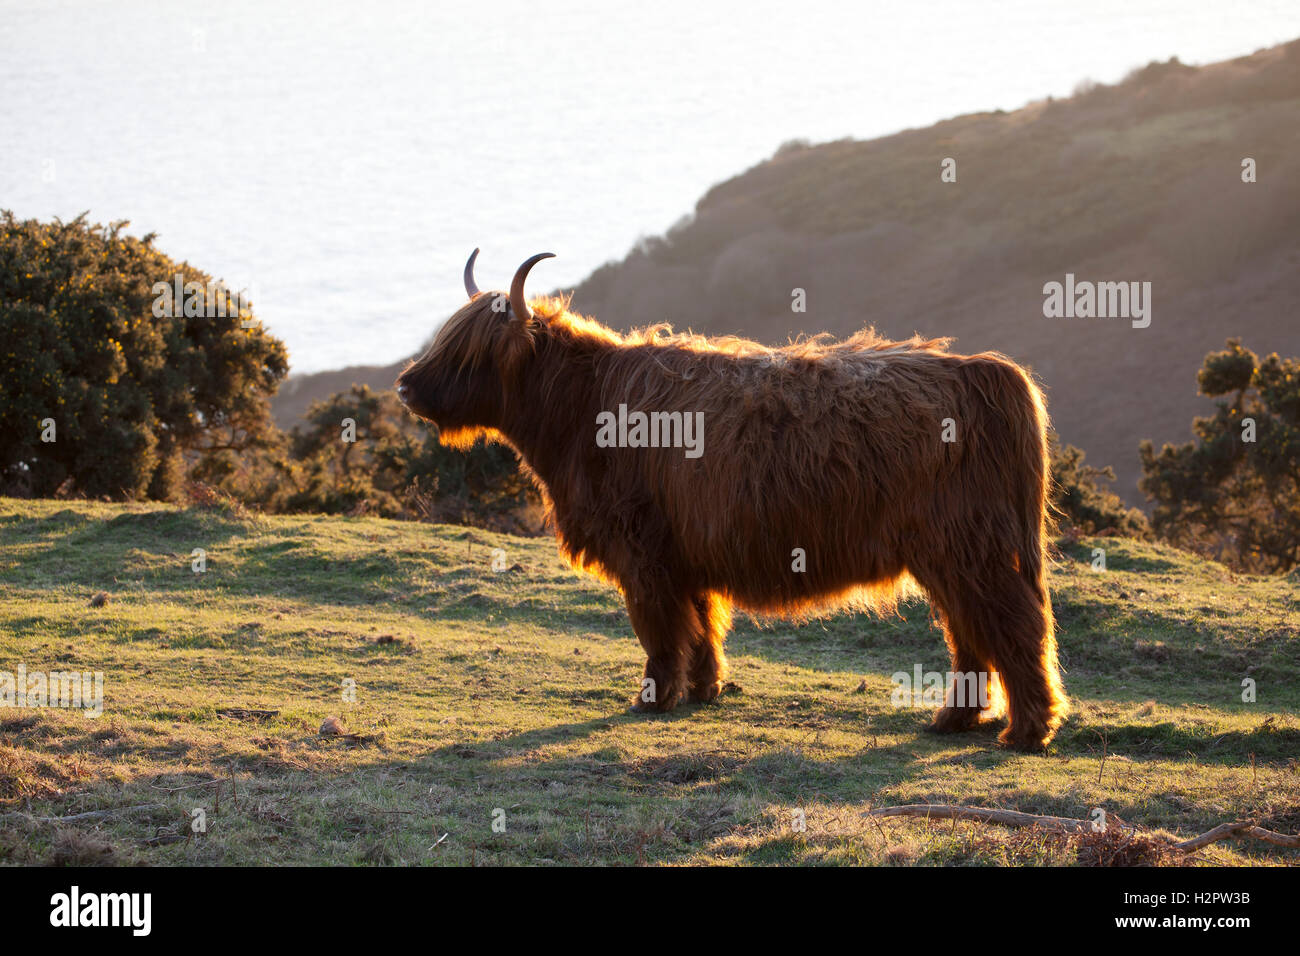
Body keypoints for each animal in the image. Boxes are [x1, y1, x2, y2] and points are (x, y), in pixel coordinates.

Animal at [396, 250, 1069, 750]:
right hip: (953, 556)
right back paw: (955, 720)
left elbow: (659, 628)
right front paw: (705, 689)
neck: (583, 408)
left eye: (469, 352)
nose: (404, 387)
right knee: (970, 630)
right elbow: (702, 624)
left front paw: (653, 698)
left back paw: (1027, 730)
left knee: (1012, 626)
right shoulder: (683, 552)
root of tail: (978, 370)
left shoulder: (643, 551)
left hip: (967, 549)